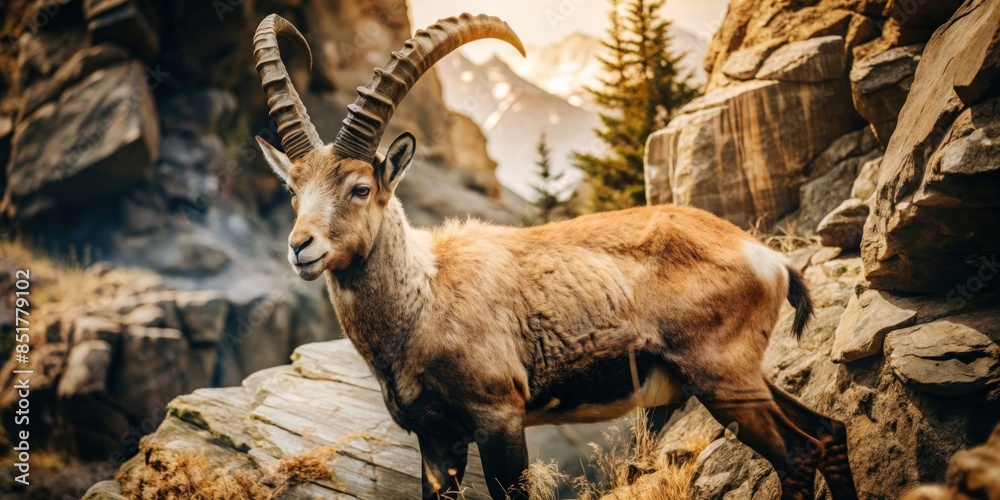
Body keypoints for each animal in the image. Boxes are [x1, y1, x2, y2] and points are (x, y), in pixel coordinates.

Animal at [252, 13, 859, 500]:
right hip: (739, 377)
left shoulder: (499, 416)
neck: (423, 299)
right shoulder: (436, 438)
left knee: (798, 454)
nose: (300, 247)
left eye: (359, 188)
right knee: (830, 433)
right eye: (293, 191)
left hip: (724, 378)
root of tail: (767, 257)